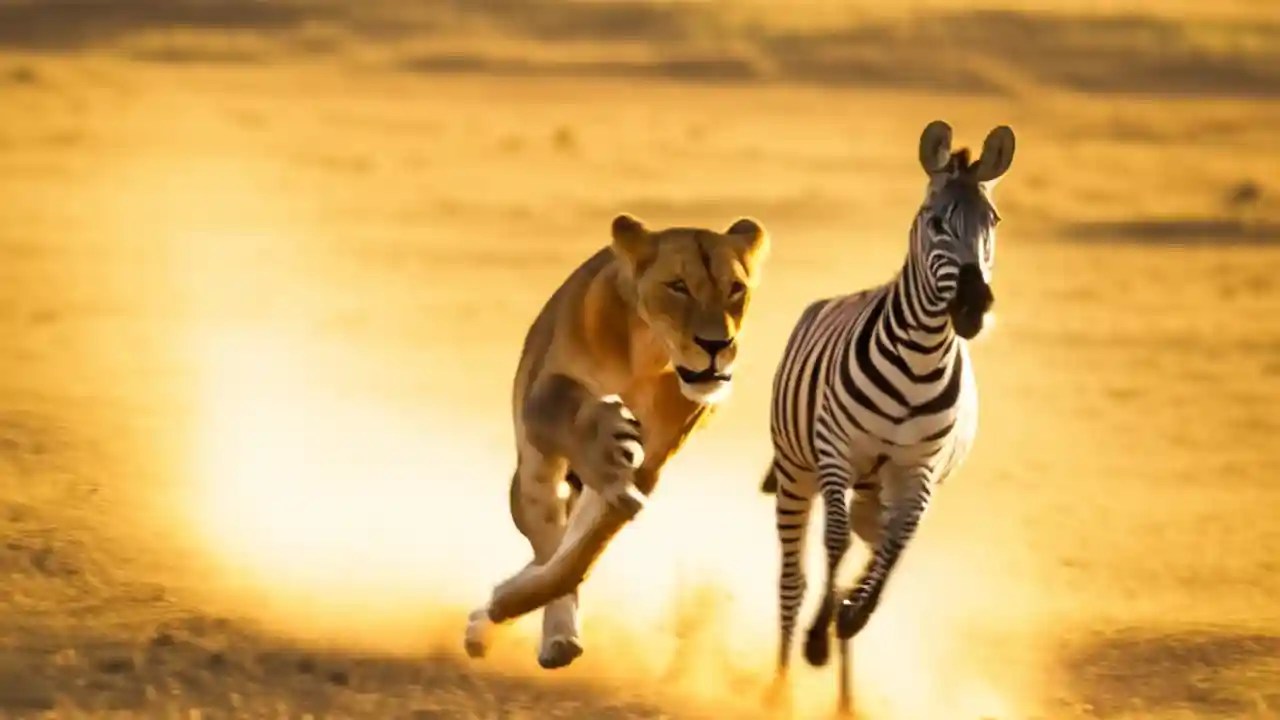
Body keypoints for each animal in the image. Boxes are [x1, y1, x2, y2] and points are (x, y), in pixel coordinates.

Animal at [463, 212, 770, 669]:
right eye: (678, 286)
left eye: (735, 288)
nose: (717, 345)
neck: (650, 355)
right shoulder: (545, 394)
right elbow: (569, 412)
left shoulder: (650, 465)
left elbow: (582, 556)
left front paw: (503, 605)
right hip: (534, 474)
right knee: (546, 541)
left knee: (558, 554)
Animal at [759, 120, 1016, 715]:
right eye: (936, 222)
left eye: (991, 222)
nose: (973, 308)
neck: (918, 362)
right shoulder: (837, 455)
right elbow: (833, 543)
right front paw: (816, 638)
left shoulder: (916, 469)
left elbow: (897, 548)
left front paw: (851, 613)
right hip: (796, 472)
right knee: (794, 577)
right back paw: (781, 685)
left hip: (874, 488)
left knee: (871, 545)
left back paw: (846, 698)